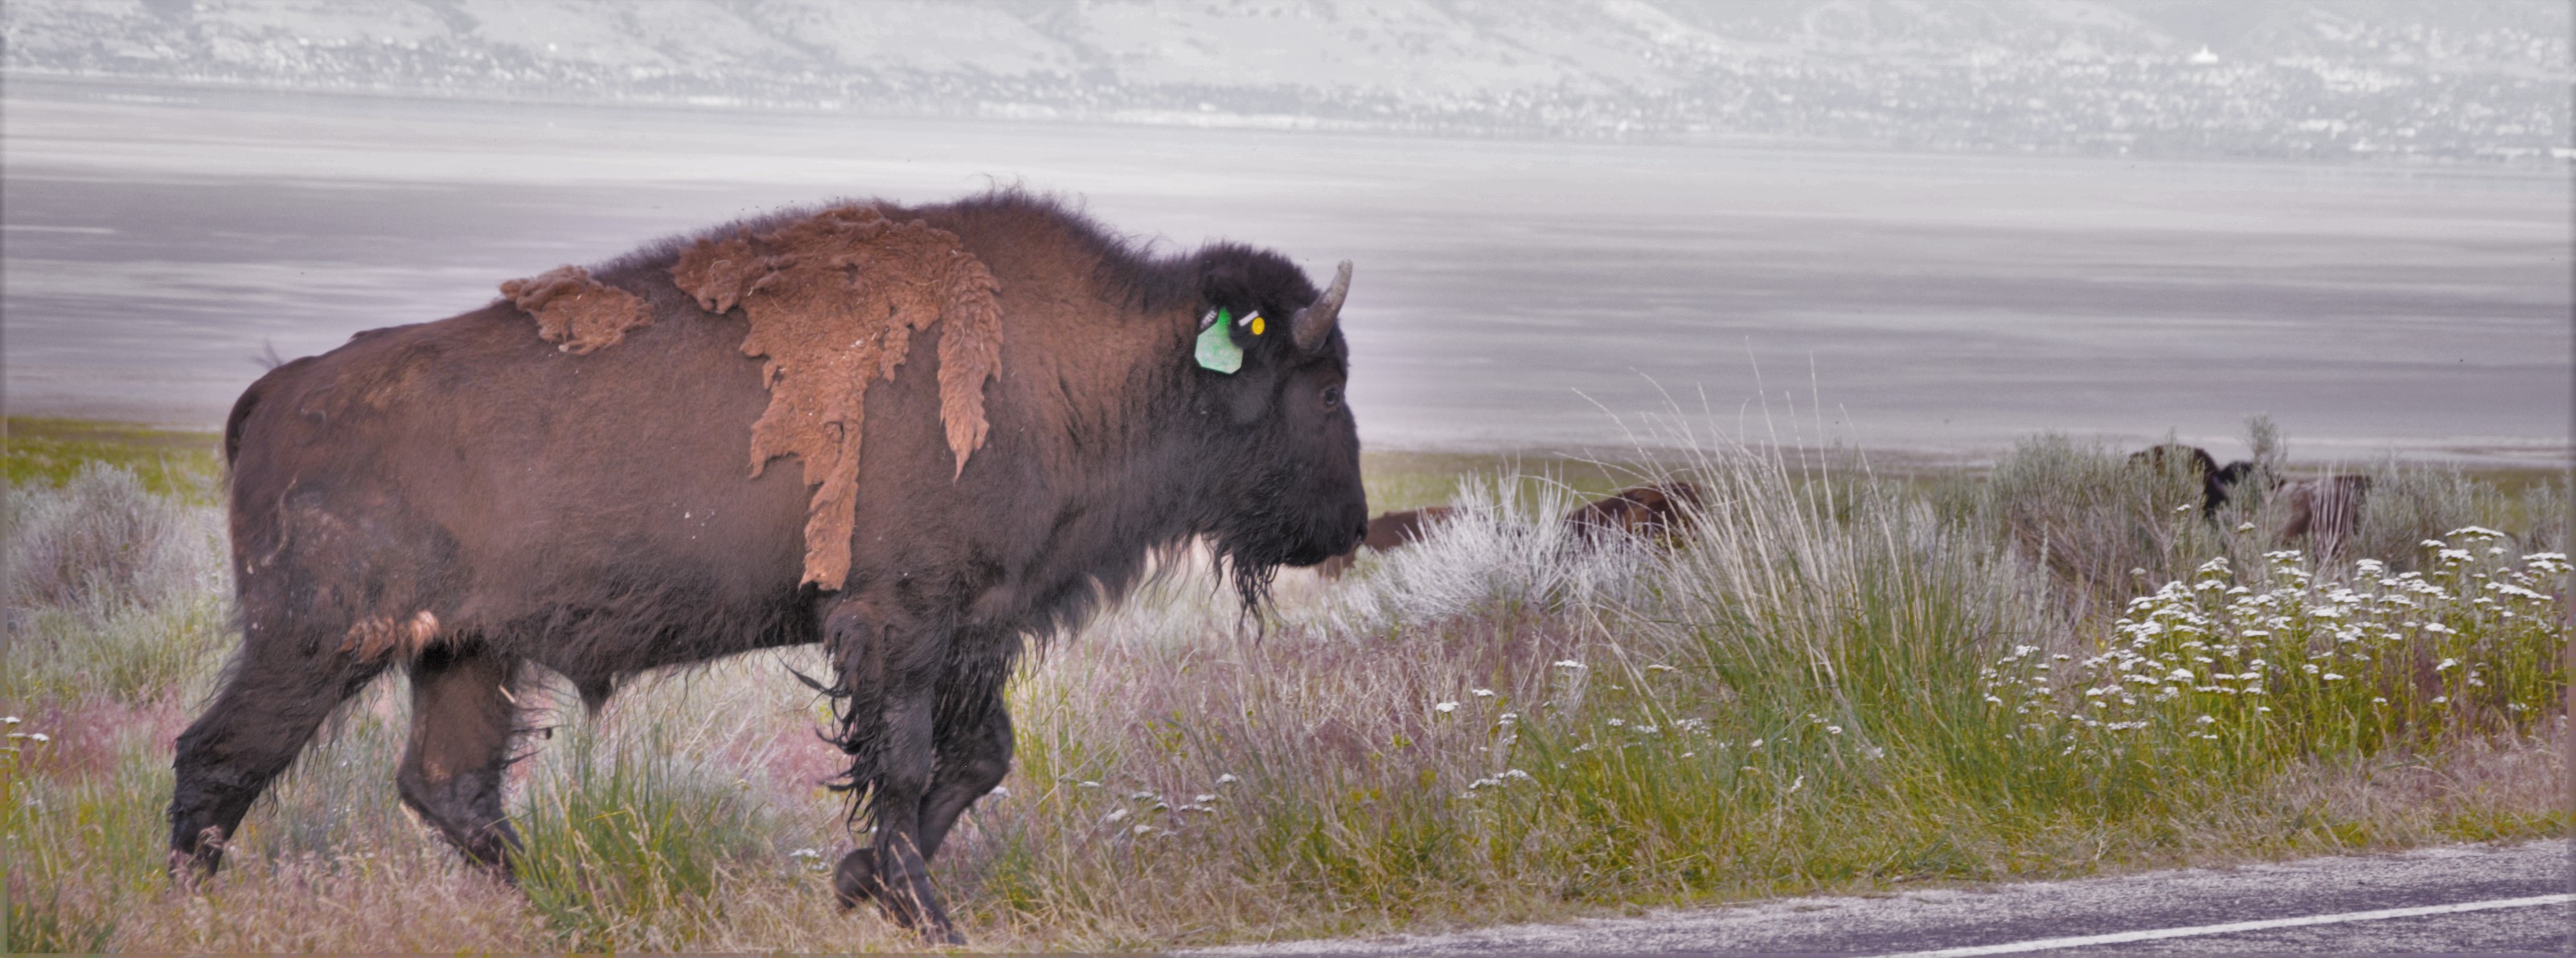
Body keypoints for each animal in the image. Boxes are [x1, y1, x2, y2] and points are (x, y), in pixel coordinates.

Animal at [167, 191, 1368, 943]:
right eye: (1322, 386)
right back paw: (192, 911)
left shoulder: (973, 628)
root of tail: (274, 392)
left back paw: (573, 898)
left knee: (447, 786)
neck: (1088, 362)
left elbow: (978, 761)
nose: (1350, 525)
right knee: (218, 759)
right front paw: (923, 913)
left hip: (462, 649)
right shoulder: (898, 622)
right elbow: (909, 768)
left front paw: (856, 886)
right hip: (316, 643)